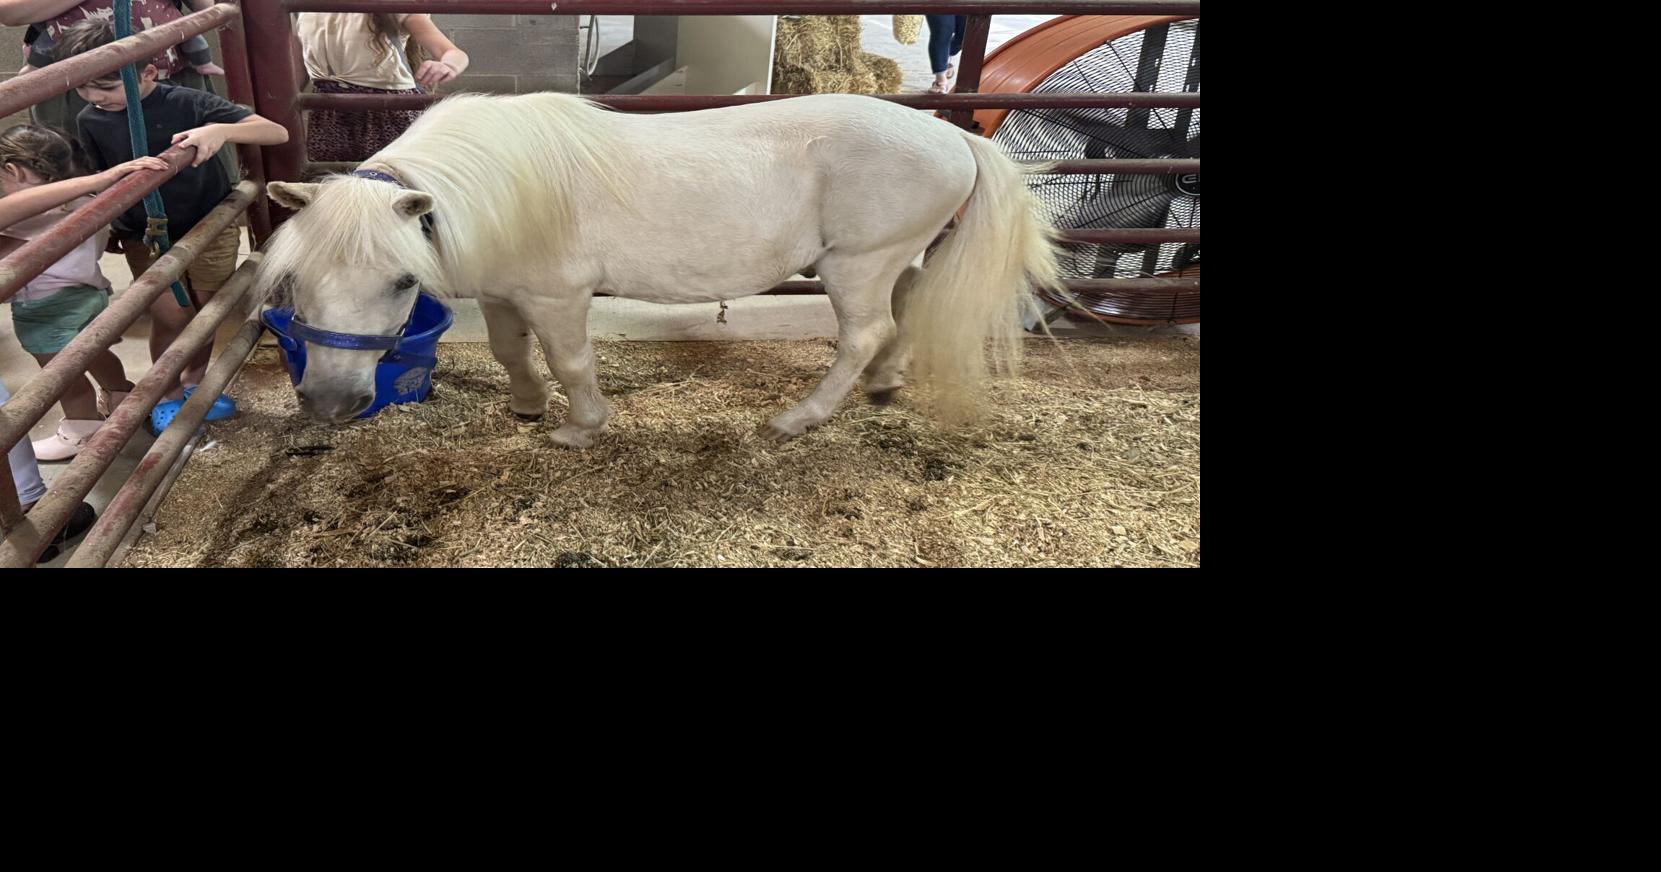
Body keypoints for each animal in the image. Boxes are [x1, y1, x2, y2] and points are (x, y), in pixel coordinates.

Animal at [256, 92, 1058, 447]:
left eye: (400, 282)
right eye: (295, 283)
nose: (328, 403)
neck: (503, 183)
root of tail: (952, 134)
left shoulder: (557, 297)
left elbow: (571, 362)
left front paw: (579, 428)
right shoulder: (507, 294)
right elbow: (511, 351)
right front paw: (526, 405)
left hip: (855, 267)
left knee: (862, 334)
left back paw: (796, 418)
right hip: (899, 258)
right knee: (906, 311)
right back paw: (886, 384)